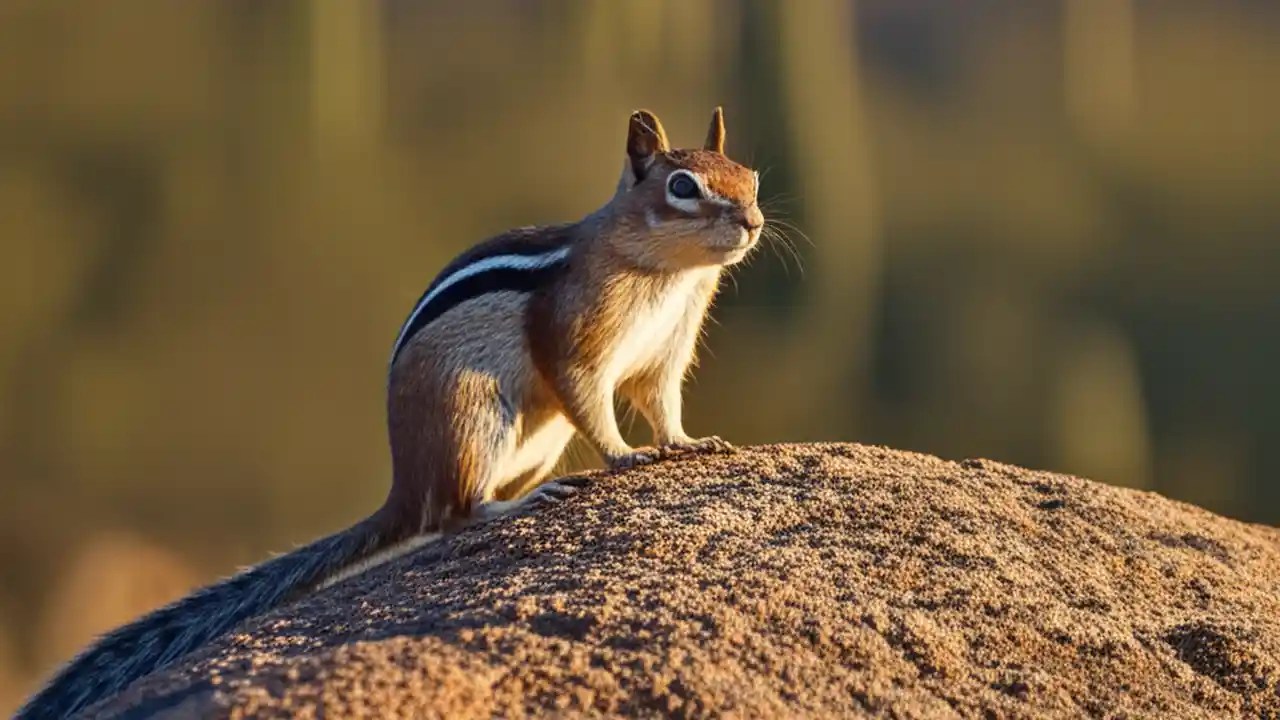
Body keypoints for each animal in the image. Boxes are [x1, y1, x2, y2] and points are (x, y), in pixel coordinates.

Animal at [16, 106, 764, 720]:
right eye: (683, 187)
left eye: (750, 176)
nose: (754, 222)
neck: (667, 273)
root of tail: (403, 484)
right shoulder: (573, 333)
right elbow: (587, 394)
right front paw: (625, 454)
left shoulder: (668, 348)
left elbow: (663, 402)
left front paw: (687, 442)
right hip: (474, 413)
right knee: (451, 514)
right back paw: (512, 506)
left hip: (533, 438)